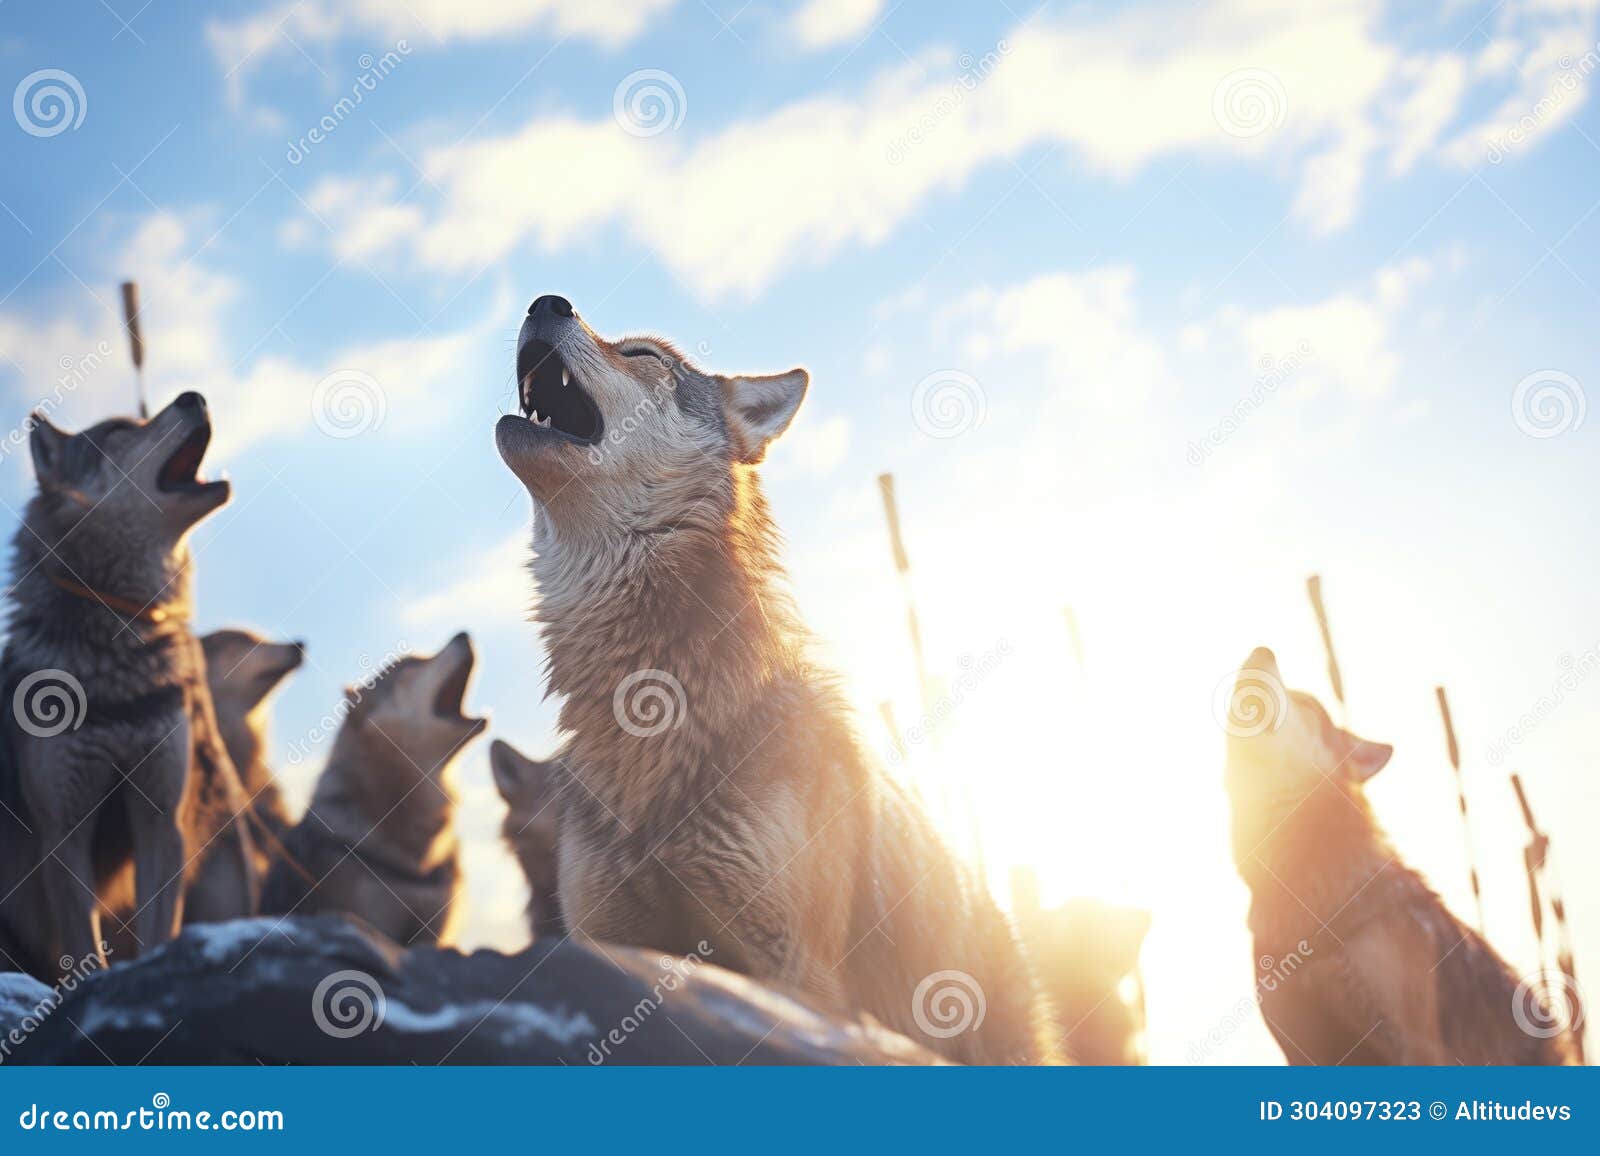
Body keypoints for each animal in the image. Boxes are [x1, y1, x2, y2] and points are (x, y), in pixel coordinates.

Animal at [0, 393, 257, 977]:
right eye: (119, 431)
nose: (194, 396)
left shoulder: (160, 821)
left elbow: (159, 932)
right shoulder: (64, 833)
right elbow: (85, 951)